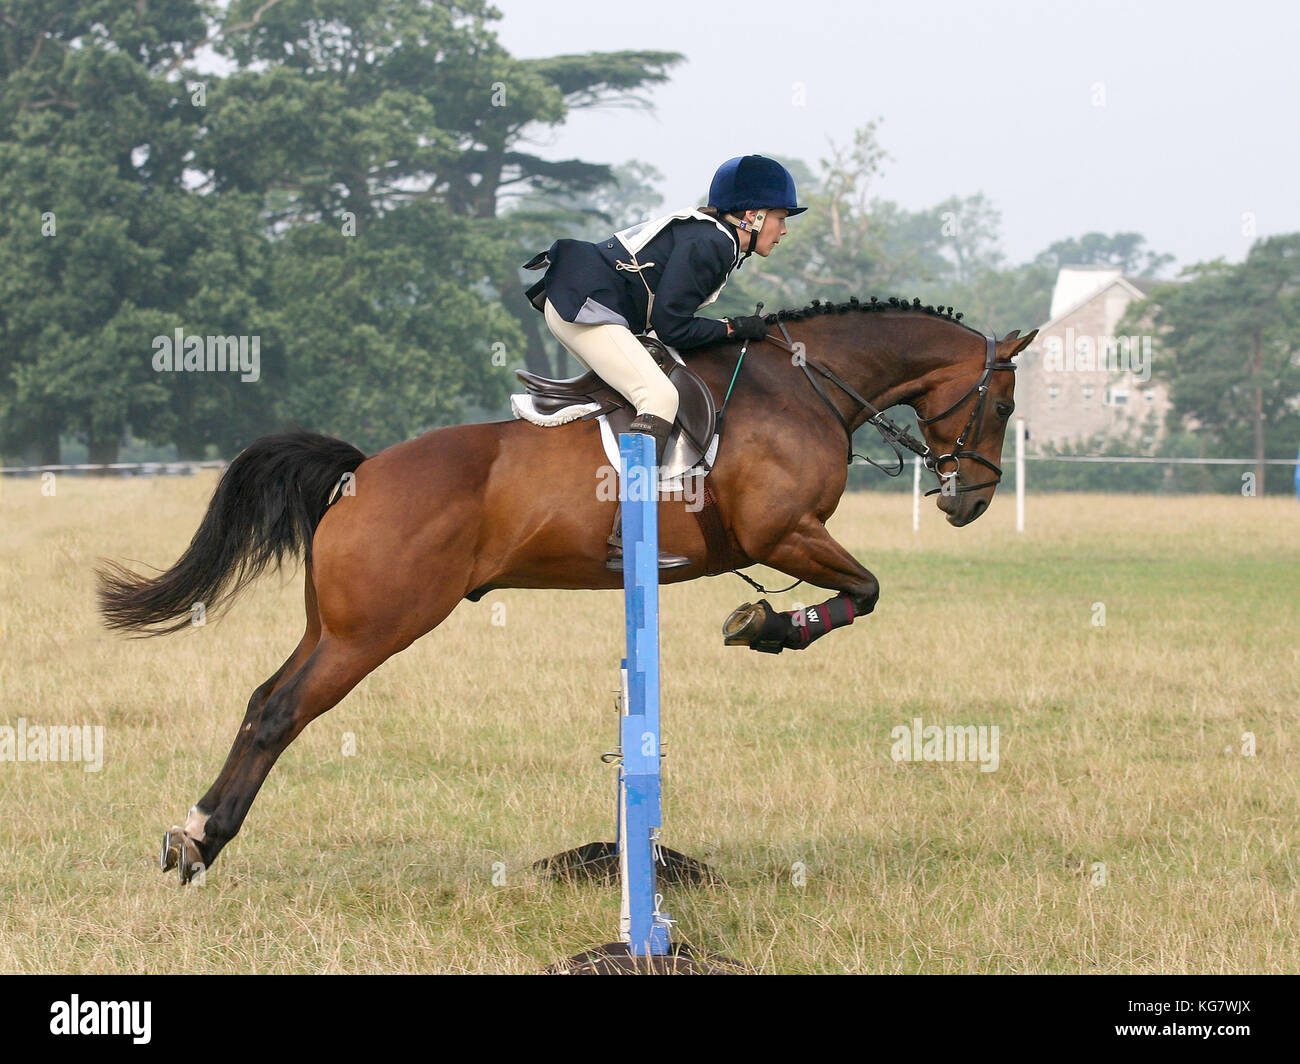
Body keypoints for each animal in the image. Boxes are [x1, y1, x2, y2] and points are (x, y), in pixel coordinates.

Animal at [97, 297, 1035, 883]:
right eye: (1003, 406)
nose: (972, 500)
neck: (805, 387)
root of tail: (363, 473)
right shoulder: (785, 534)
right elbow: (866, 590)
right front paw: (762, 623)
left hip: (331, 626)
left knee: (262, 700)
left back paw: (195, 835)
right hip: (375, 631)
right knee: (284, 713)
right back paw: (204, 840)